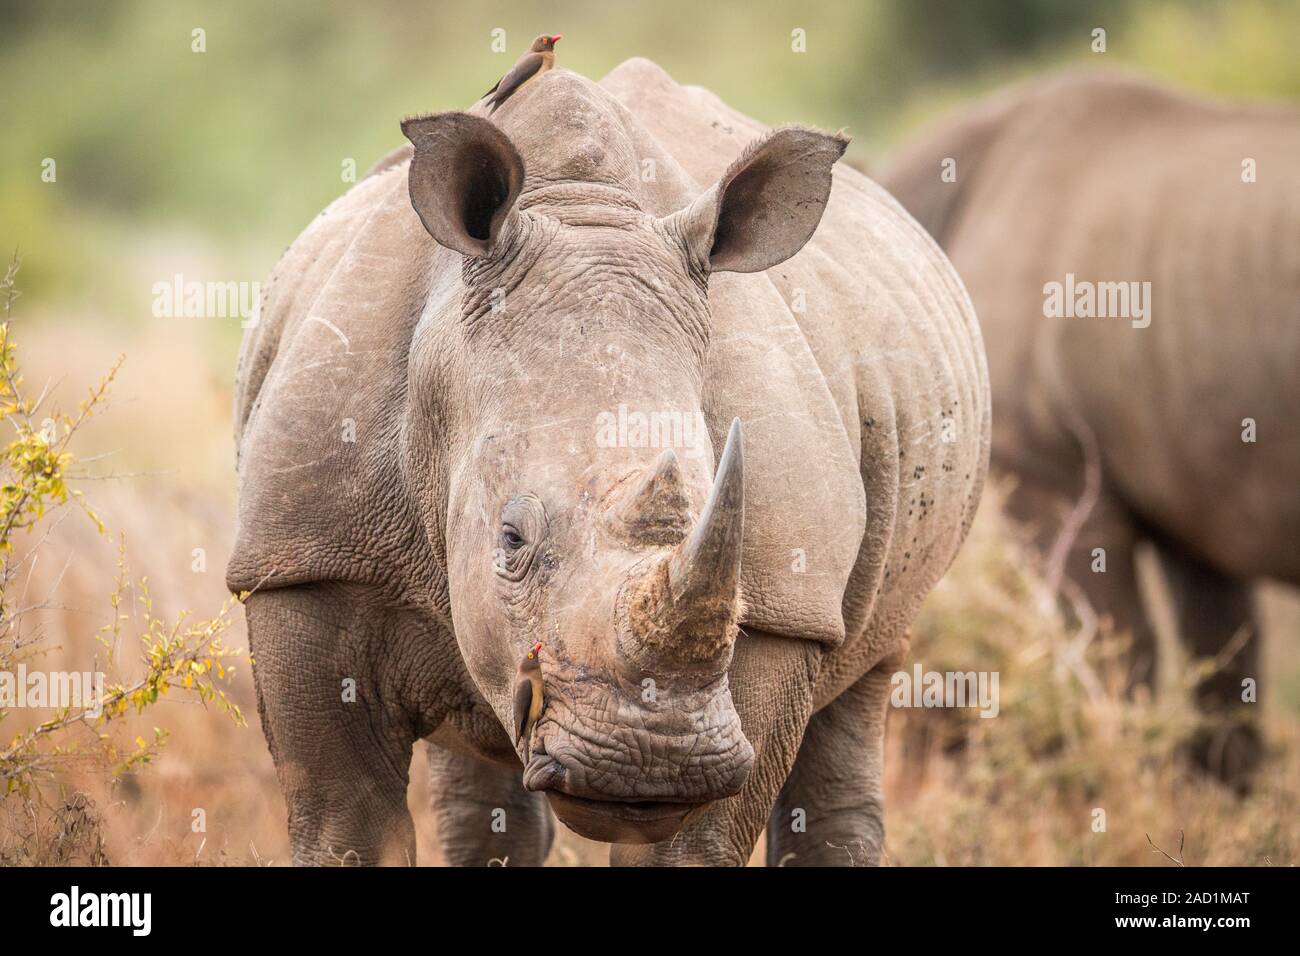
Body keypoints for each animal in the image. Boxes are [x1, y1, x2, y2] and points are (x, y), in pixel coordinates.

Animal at [228, 57, 989, 865]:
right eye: (511, 539)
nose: (655, 756)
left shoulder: (786, 609)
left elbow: (691, 845)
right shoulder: (304, 559)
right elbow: (345, 822)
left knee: (866, 682)